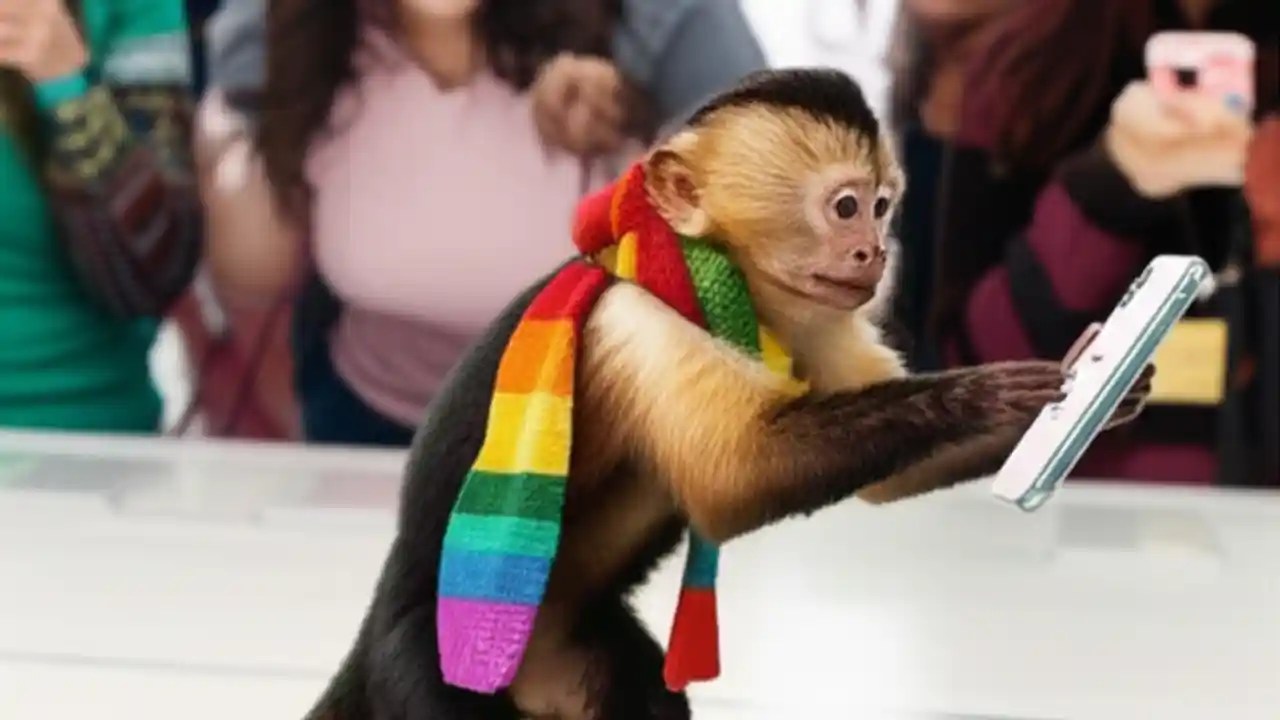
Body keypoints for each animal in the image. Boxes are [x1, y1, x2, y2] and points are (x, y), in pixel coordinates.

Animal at [302, 68, 1152, 720]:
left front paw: (1102, 376)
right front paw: (988, 394)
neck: (705, 273)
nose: (875, 251)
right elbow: (734, 474)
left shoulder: (811, 312)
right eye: (846, 207)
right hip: (427, 671)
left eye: (882, 207)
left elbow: (884, 479)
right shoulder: (632, 323)